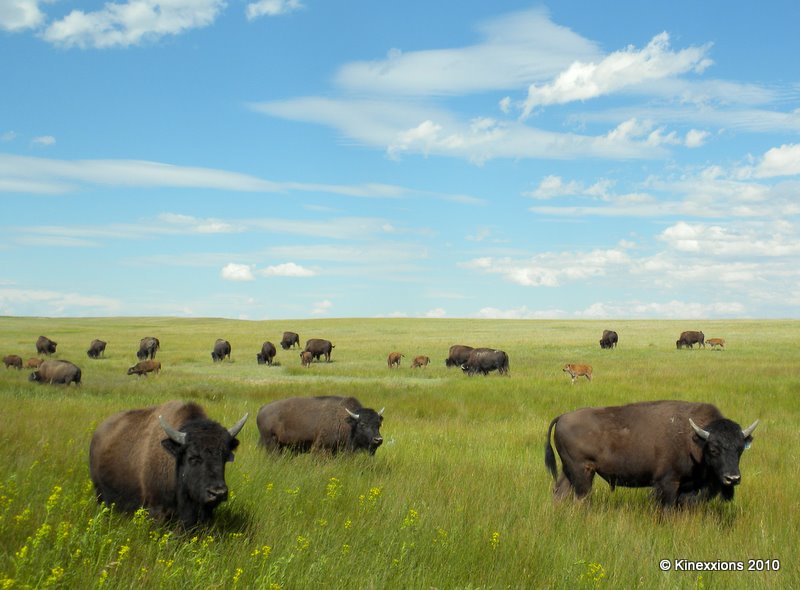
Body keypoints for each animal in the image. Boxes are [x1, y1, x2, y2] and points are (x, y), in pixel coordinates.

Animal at [89, 400, 248, 527]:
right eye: (192, 457)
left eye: (224, 456)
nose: (218, 493)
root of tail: (98, 433)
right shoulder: (157, 509)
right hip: (100, 494)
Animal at [544, 400, 758, 507]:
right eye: (714, 449)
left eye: (740, 449)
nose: (733, 478)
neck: (694, 439)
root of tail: (562, 417)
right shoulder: (668, 483)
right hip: (583, 473)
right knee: (580, 497)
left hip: (568, 472)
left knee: (560, 493)